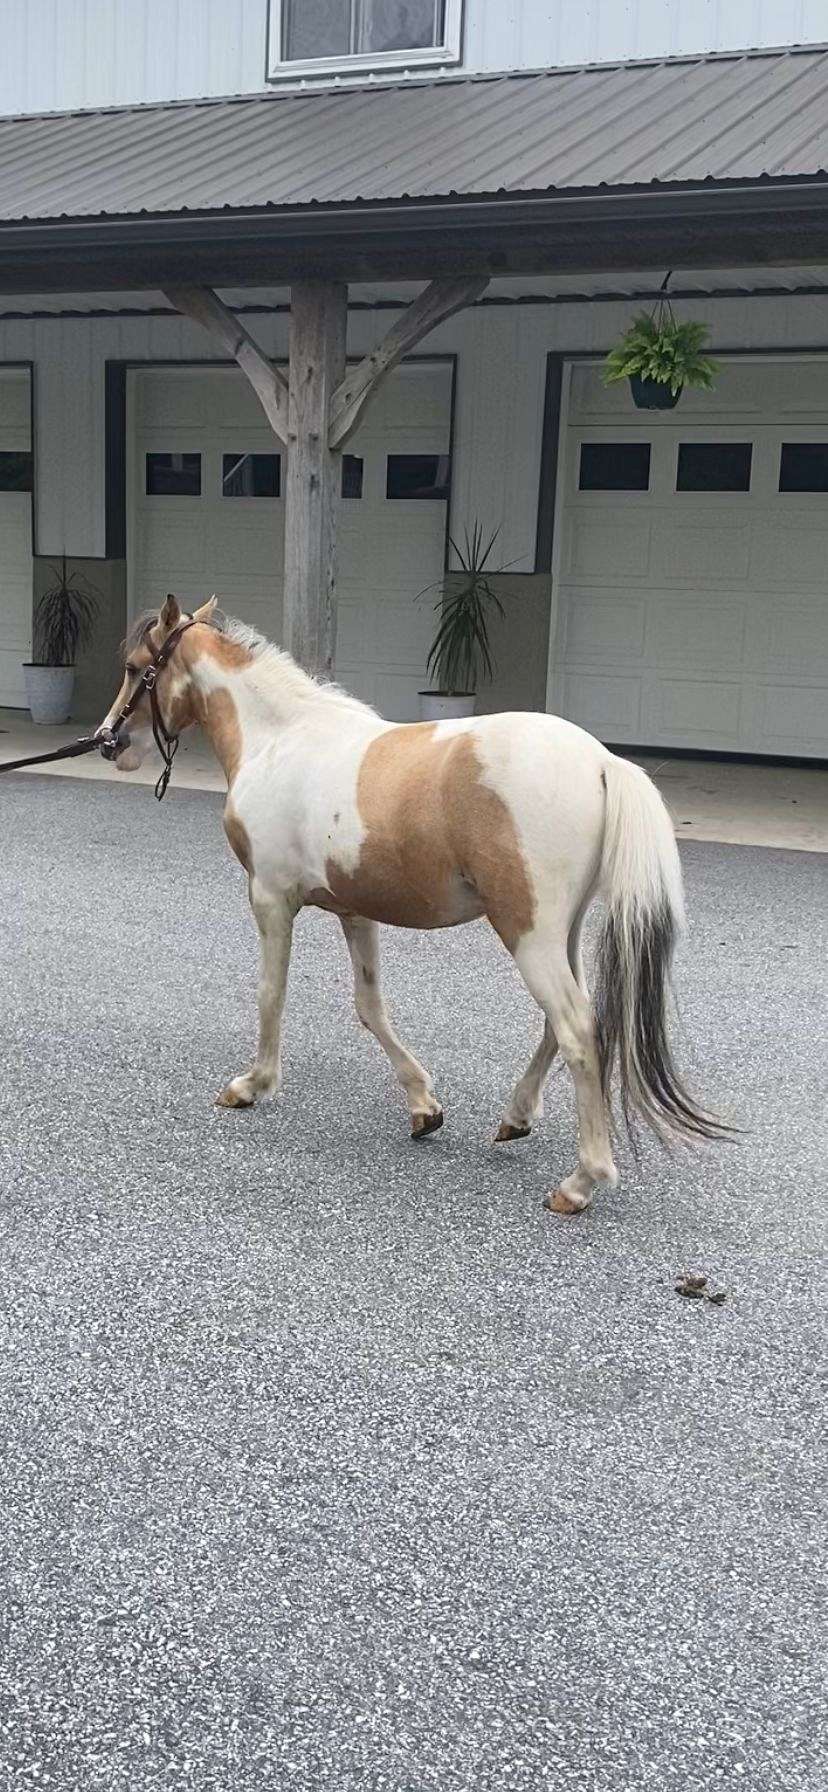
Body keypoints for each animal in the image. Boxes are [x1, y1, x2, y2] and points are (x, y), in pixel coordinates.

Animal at [97, 593, 727, 1215]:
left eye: (133, 668)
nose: (110, 742)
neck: (279, 739)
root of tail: (600, 761)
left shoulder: (271, 899)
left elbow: (270, 994)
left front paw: (253, 1086)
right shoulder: (355, 911)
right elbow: (370, 1007)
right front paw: (424, 1107)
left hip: (528, 934)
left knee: (576, 1029)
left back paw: (582, 1181)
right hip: (558, 934)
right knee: (564, 1022)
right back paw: (516, 1118)